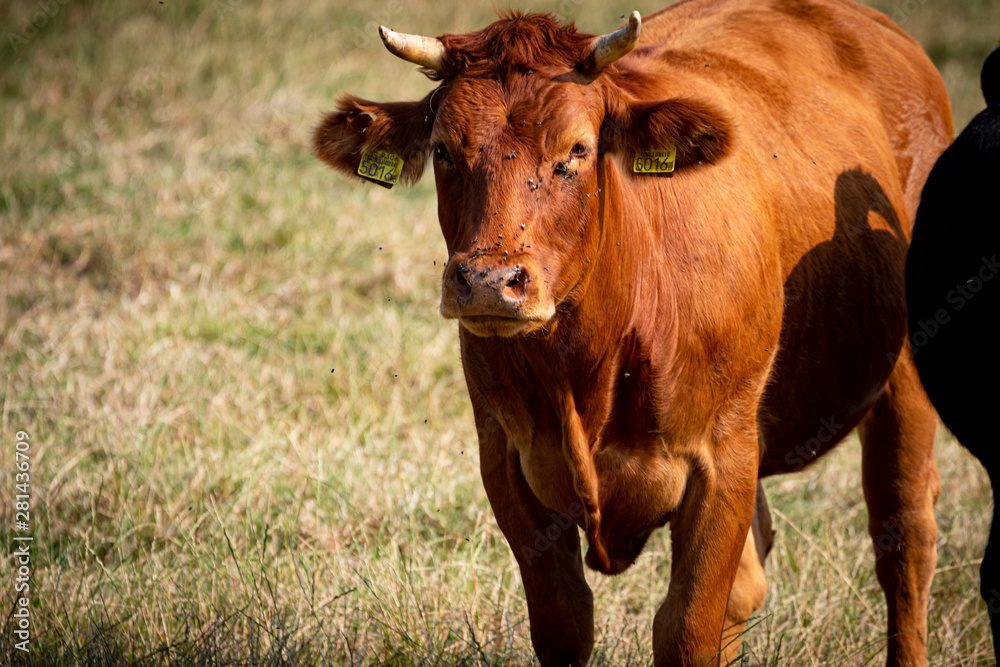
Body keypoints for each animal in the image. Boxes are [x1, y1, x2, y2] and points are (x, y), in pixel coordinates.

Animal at [313, 0, 953, 664]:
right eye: (443, 150)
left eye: (577, 149)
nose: (489, 282)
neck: (584, 370)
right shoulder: (505, 456)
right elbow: (566, 623)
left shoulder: (724, 458)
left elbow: (688, 627)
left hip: (906, 374)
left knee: (904, 535)